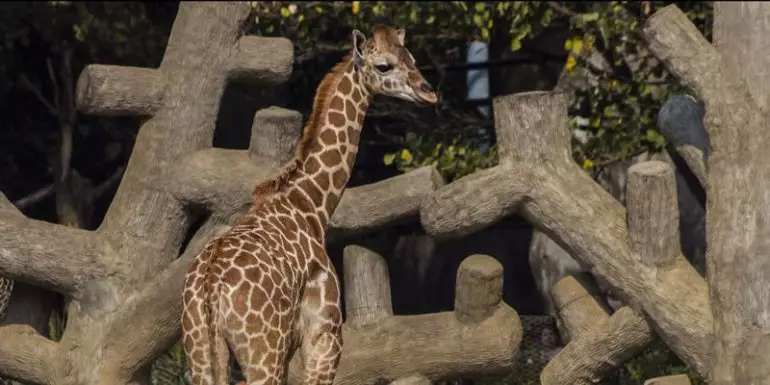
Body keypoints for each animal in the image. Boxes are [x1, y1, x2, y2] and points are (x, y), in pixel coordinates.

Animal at [178, 24, 432, 384]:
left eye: (410, 57)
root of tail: (210, 291)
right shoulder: (324, 337)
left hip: (201, 351)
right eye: (384, 66)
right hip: (263, 353)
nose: (428, 92)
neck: (309, 204)